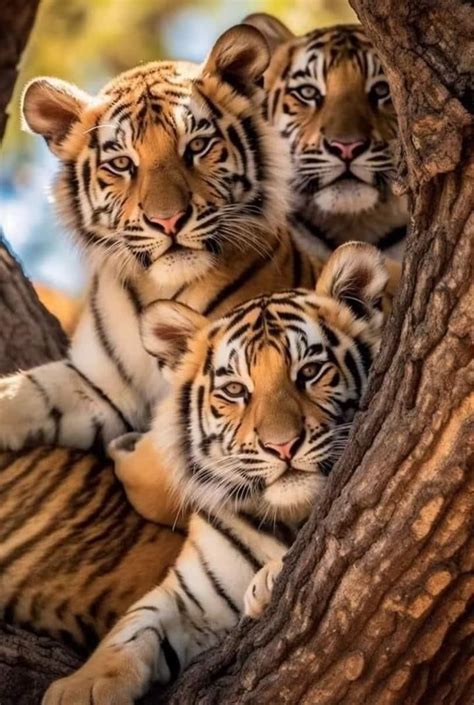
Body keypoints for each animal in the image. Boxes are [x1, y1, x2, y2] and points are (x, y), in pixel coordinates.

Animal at [43, 241, 389, 704]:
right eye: (236, 391)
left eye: (310, 372)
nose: (282, 446)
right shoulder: (190, 599)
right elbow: (131, 628)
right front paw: (80, 687)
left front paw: (266, 581)